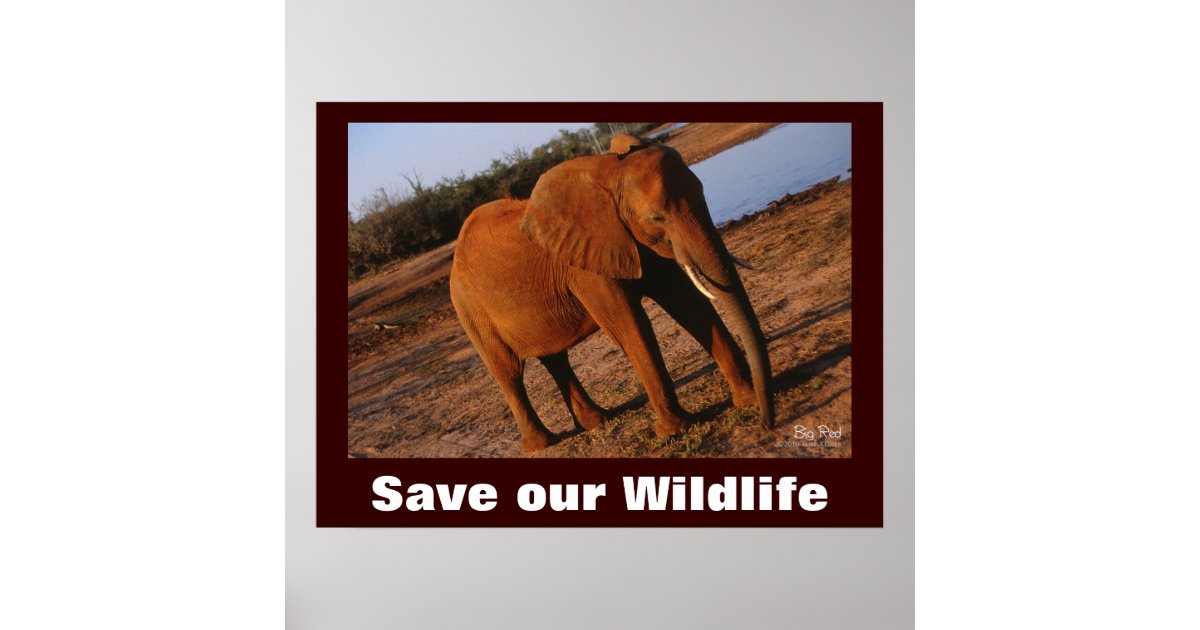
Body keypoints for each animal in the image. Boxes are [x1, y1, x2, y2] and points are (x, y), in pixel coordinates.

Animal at [449, 134, 773, 452]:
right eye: (656, 217)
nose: (766, 422)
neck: (610, 173)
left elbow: (687, 303)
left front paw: (746, 400)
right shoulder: (586, 264)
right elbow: (629, 325)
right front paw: (672, 431)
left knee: (556, 359)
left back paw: (598, 421)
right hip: (470, 311)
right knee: (509, 373)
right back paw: (541, 444)